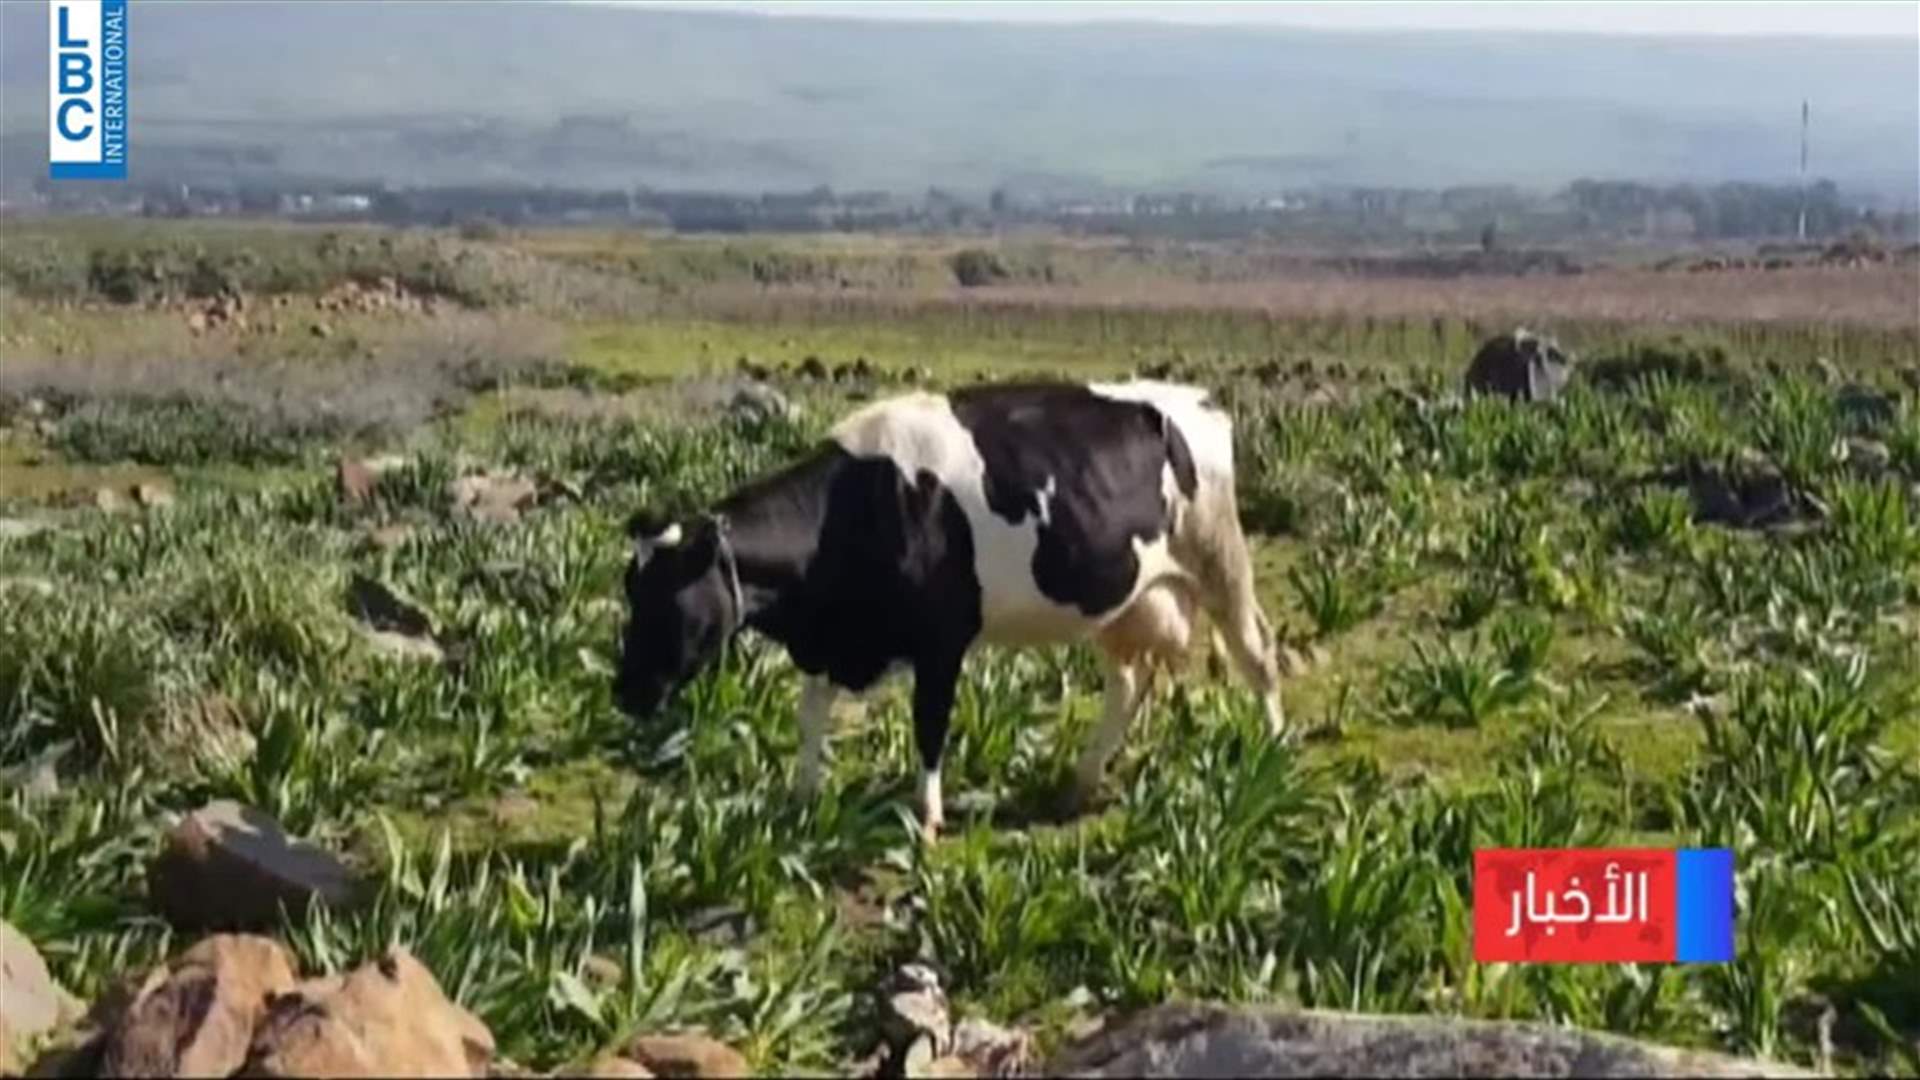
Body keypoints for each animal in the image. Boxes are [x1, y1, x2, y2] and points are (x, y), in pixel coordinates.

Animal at [613, 380, 1284, 838]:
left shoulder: (942, 641)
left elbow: (928, 726)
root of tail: (1194, 399)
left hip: (1220, 559)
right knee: (1127, 683)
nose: (624, 695)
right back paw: (1082, 782)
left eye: (668, 602)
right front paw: (801, 799)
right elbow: (809, 718)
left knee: (1257, 657)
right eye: (629, 591)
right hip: (1124, 600)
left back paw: (1274, 755)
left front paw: (928, 817)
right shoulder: (828, 642)